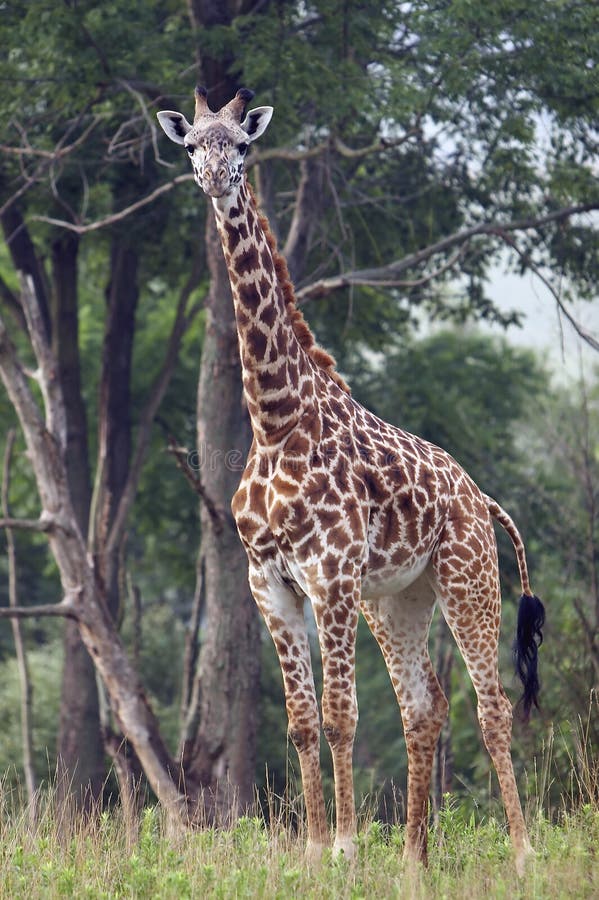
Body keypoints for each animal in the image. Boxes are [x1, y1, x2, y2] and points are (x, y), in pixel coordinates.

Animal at [157, 87, 545, 875]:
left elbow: (340, 718)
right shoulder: (267, 581)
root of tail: (480, 496)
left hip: (467, 579)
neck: (276, 420)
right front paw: (311, 850)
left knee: (490, 706)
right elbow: (303, 723)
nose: (215, 180)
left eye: (242, 146)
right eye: (191, 146)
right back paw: (413, 860)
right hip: (397, 599)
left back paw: (521, 855)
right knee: (424, 706)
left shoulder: (329, 574)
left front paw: (341, 847)